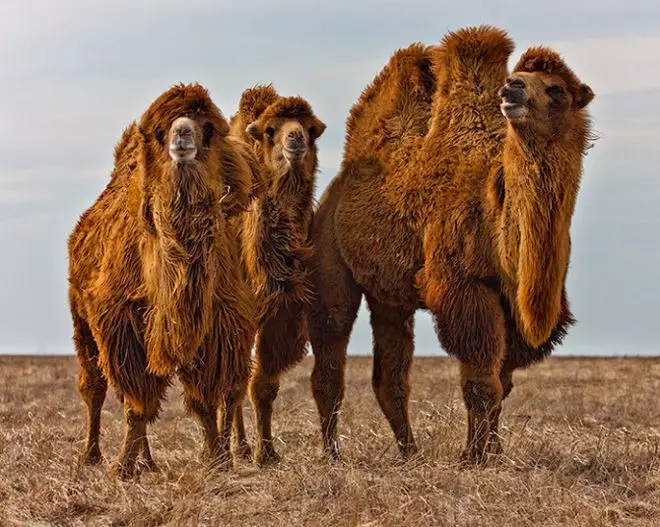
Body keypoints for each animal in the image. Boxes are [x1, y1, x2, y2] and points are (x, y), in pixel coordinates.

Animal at [68, 82, 260, 478]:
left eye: (207, 128)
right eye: (160, 131)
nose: (181, 135)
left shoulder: (217, 324)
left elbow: (205, 400)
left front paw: (217, 459)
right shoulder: (120, 322)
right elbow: (137, 403)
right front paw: (122, 467)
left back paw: (148, 460)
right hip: (80, 315)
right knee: (94, 385)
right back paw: (93, 454)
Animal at [229, 84, 328, 464]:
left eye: (310, 128)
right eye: (270, 130)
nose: (295, 139)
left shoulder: (283, 310)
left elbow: (264, 385)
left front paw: (267, 452)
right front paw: (254, 450)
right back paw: (238, 446)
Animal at [306, 25, 596, 462]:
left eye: (557, 88)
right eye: (520, 76)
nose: (512, 88)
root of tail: (332, 193)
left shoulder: (509, 304)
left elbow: (502, 384)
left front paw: (493, 452)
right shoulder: (463, 287)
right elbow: (481, 383)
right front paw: (474, 457)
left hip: (390, 296)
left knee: (390, 376)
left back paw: (410, 452)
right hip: (327, 256)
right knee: (330, 355)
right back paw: (333, 454)